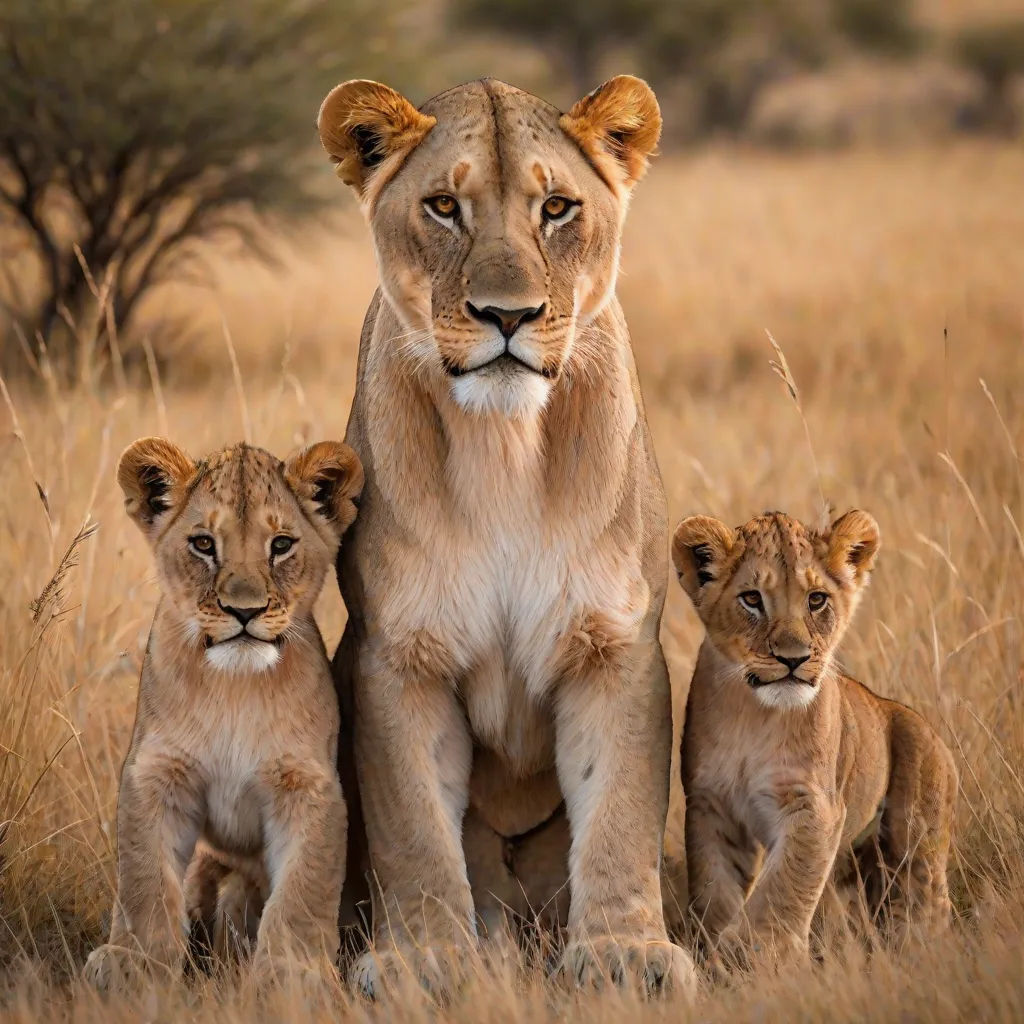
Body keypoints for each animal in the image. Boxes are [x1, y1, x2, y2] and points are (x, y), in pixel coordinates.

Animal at [83, 439, 362, 989]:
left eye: (281, 544)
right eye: (204, 544)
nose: (244, 611)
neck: (235, 689)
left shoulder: (309, 785)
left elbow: (305, 888)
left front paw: (293, 972)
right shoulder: (155, 773)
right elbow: (145, 879)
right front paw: (138, 963)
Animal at [317, 76, 696, 996]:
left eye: (556, 208)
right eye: (443, 207)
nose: (507, 315)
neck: (504, 445)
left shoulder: (616, 644)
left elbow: (622, 809)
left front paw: (626, 952)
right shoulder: (398, 653)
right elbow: (413, 826)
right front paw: (423, 960)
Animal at [672, 509, 957, 967]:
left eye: (817, 599)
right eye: (752, 599)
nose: (794, 659)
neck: (756, 716)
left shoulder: (815, 804)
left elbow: (784, 885)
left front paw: (757, 950)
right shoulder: (710, 804)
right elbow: (717, 887)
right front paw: (715, 950)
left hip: (915, 836)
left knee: (926, 903)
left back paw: (925, 954)